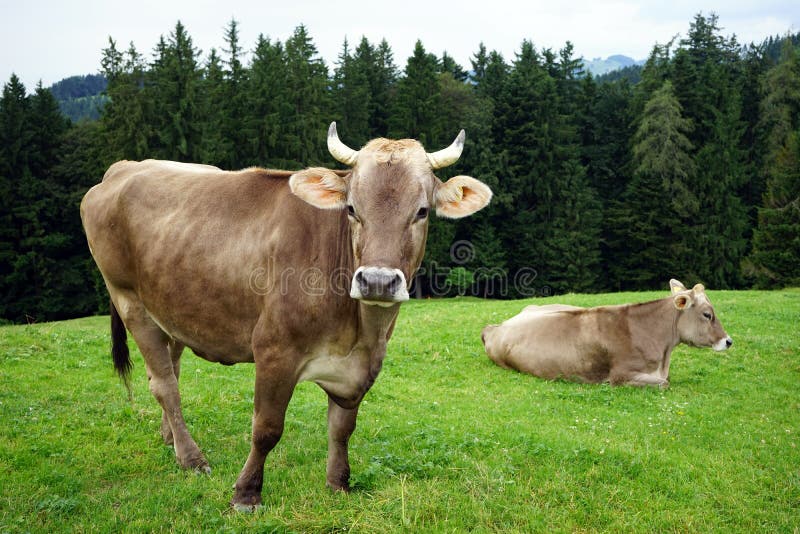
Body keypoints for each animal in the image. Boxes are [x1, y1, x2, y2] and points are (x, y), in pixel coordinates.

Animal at [80, 123, 492, 509]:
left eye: (421, 211)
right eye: (352, 209)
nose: (377, 281)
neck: (360, 331)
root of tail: (123, 167)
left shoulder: (359, 369)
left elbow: (342, 428)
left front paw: (338, 484)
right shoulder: (274, 350)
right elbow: (266, 428)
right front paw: (246, 493)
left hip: (172, 308)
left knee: (170, 371)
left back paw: (172, 439)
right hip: (130, 301)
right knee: (164, 384)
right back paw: (192, 458)